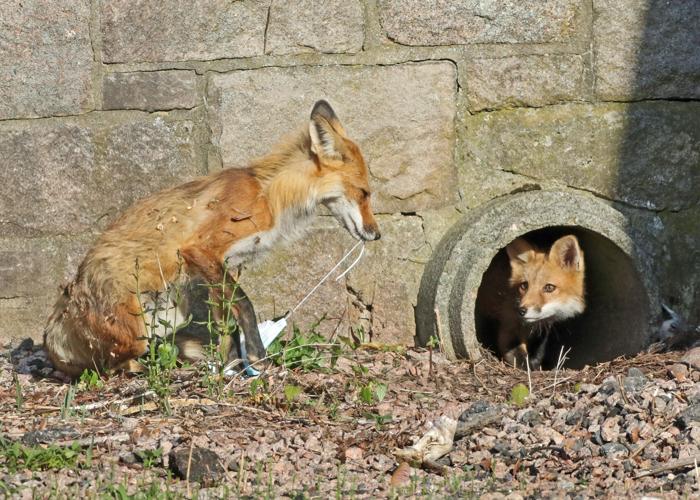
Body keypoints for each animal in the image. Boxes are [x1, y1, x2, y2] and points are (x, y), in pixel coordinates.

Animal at [43, 100, 380, 377]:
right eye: (364, 193)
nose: (377, 234)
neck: (269, 197)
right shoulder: (199, 249)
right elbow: (244, 304)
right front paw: (257, 357)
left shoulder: (219, 267)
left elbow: (226, 321)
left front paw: (232, 364)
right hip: (136, 329)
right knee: (115, 366)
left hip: (171, 309)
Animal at [495, 235, 585, 370]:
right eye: (524, 285)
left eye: (549, 287)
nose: (521, 311)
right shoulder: (508, 327)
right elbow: (520, 358)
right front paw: (530, 370)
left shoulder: (541, 332)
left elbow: (538, 354)